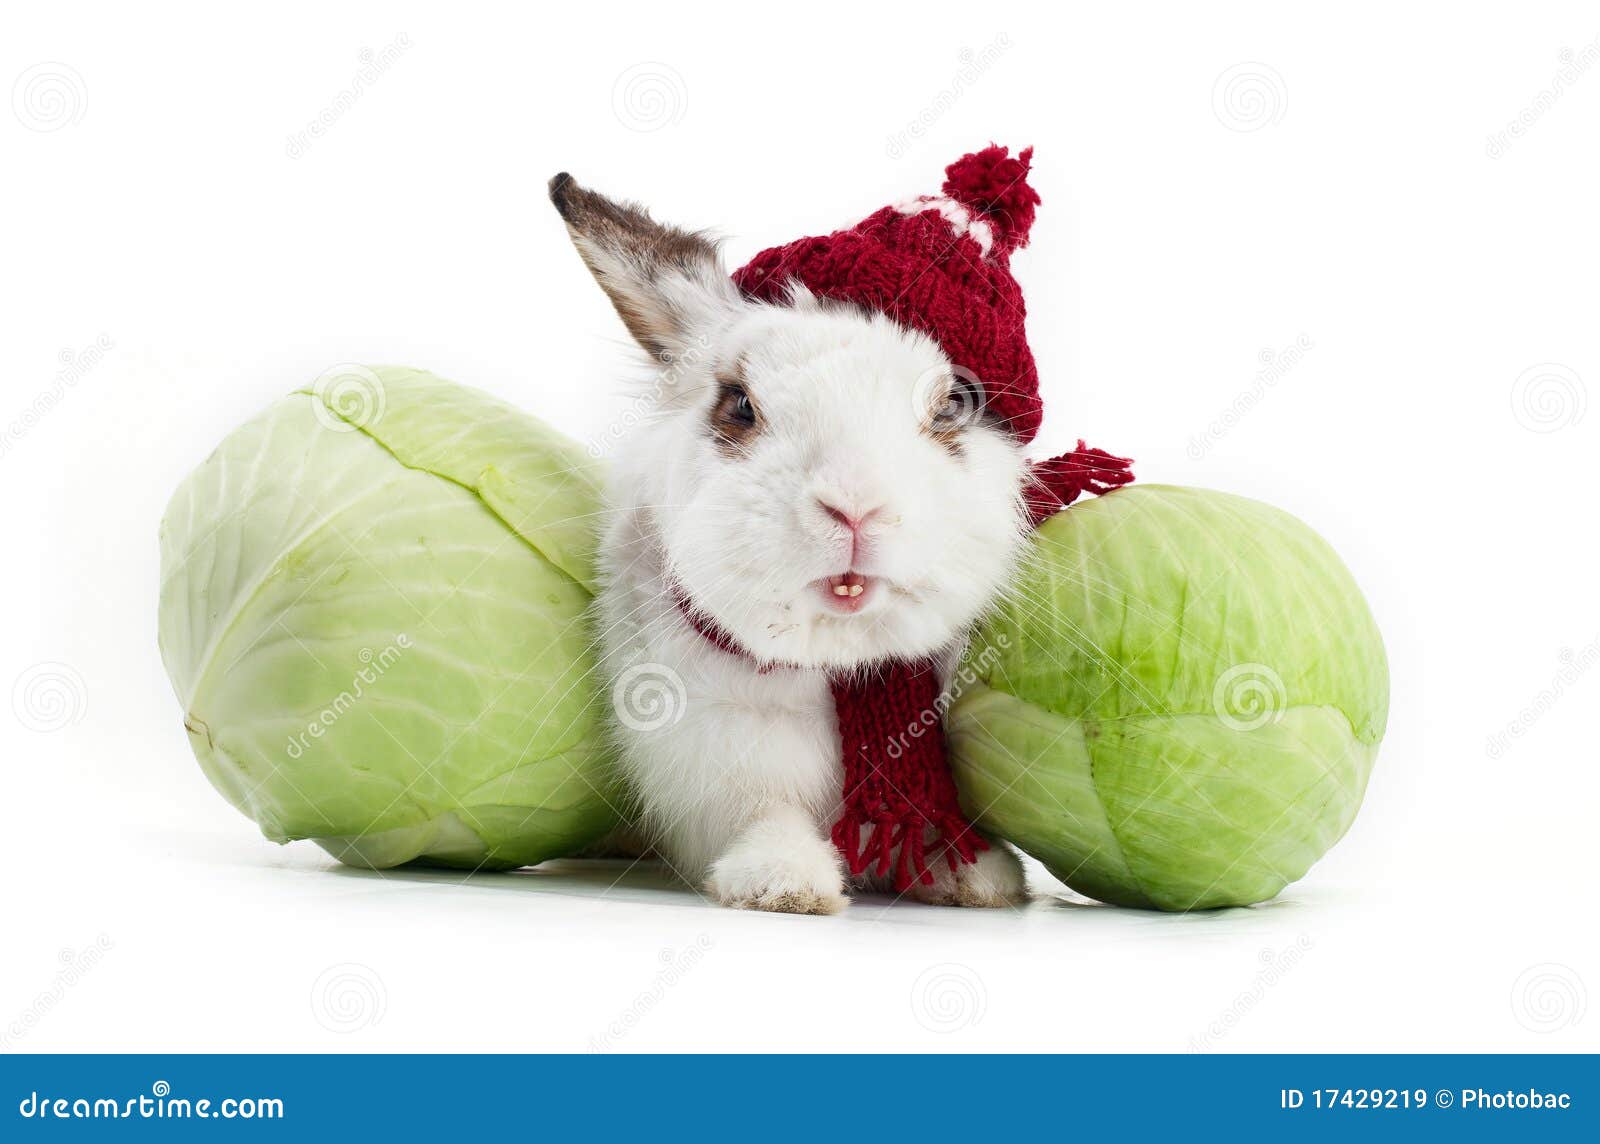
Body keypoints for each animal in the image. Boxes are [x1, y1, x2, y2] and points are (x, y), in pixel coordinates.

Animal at [550, 172, 1032, 914]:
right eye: (740, 405)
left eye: (954, 404)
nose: (855, 505)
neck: (841, 667)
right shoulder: (715, 755)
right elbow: (766, 812)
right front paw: (784, 884)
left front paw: (981, 877)